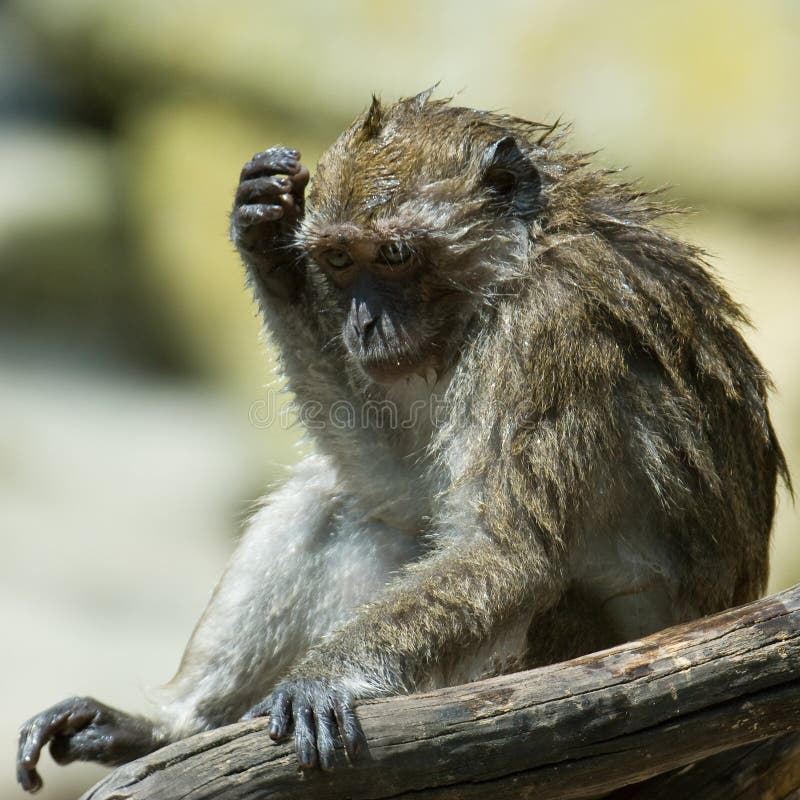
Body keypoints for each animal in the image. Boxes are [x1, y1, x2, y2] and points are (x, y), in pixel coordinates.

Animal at [17, 89, 789, 791]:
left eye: (392, 255)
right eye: (336, 259)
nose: (363, 325)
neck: (518, 263)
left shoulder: (547, 332)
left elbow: (503, 553)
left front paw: (319, 679)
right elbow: (405, 492)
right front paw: (264, 238)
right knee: (339, 499)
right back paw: (168, 726)